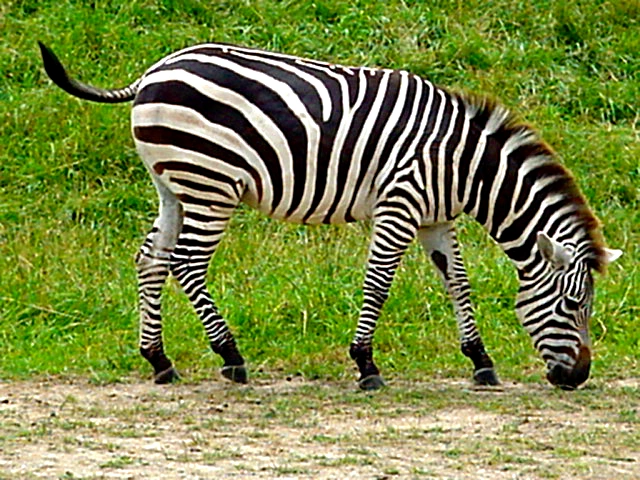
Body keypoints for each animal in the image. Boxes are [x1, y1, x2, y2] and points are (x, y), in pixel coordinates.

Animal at [38, 41, 622, 391]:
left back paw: (159, 361)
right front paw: (366, 364)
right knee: (186, 263)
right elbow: (379, 283)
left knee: (151, 259)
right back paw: (231, 356)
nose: (578, 376)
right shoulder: (400, 204)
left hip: (172, 185)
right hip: (210, 182)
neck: (464, 165)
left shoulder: (437, 218)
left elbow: (457, 283)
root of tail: (151, 73)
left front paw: (480, 360)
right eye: (573, 305)